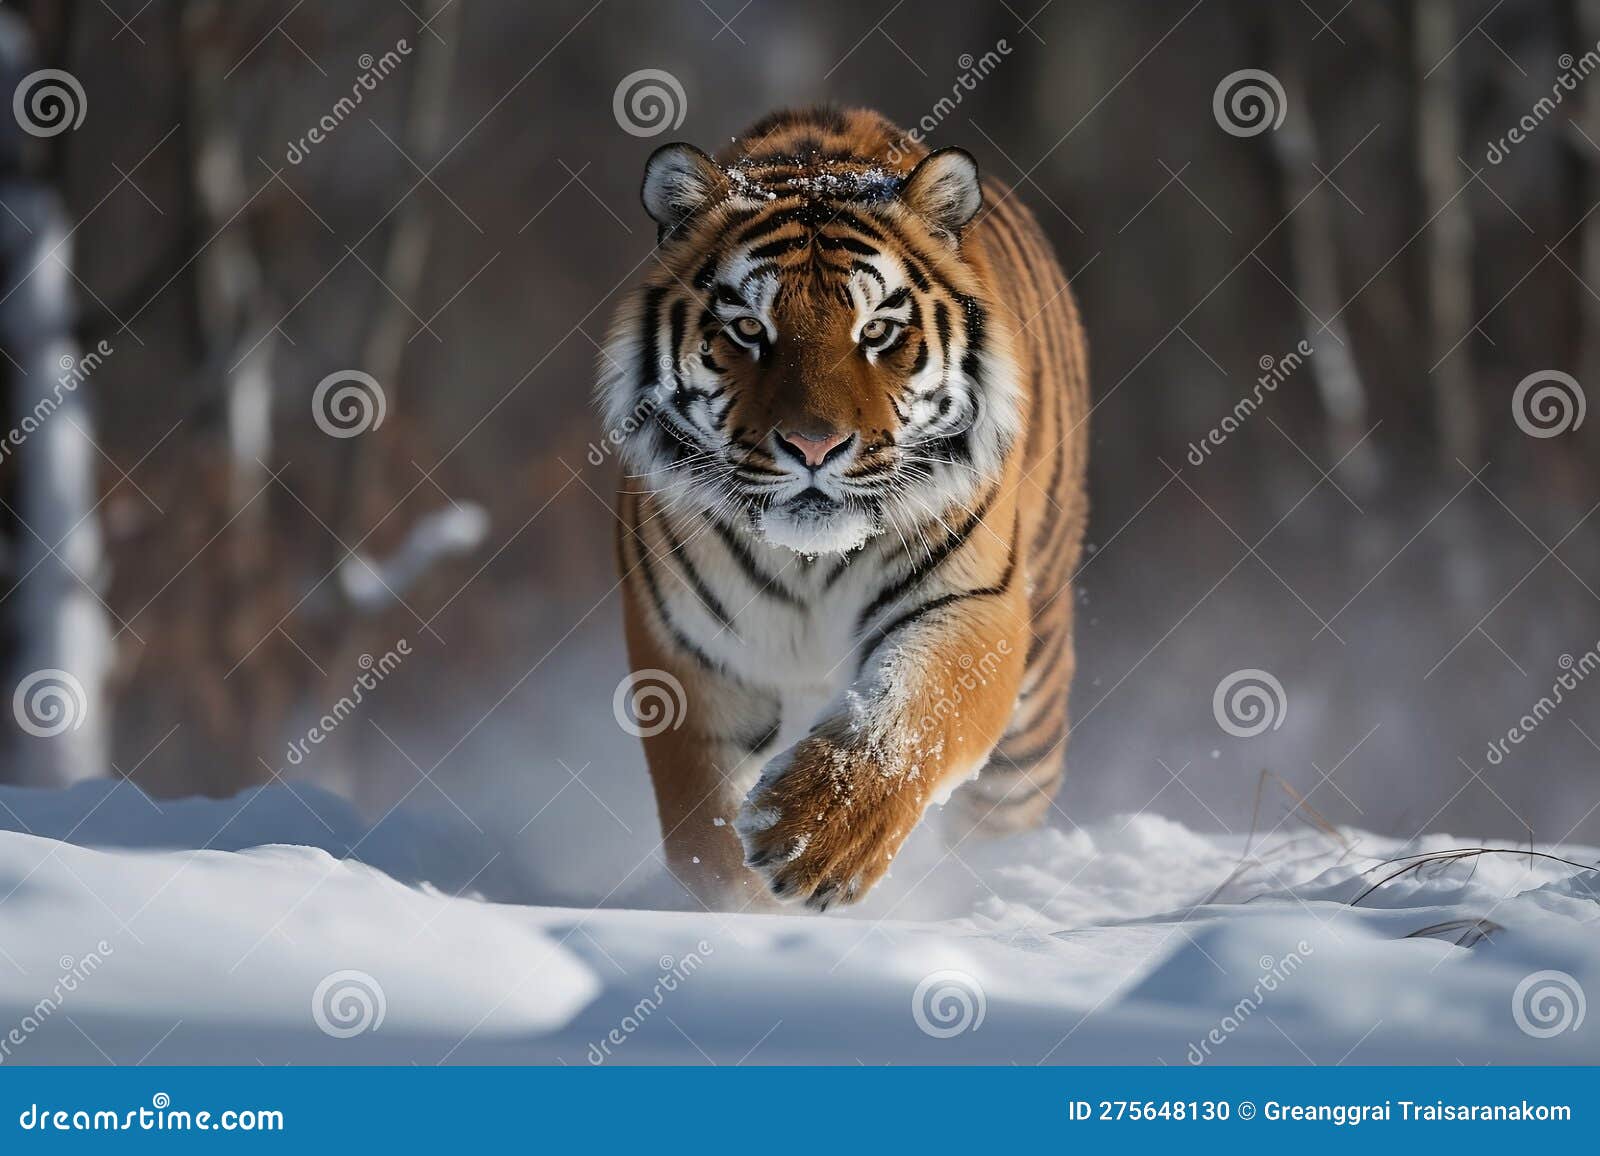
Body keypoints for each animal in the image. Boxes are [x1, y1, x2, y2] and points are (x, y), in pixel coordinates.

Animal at [599, 106, 1089, 912]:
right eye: (748, 330)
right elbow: (704, 827)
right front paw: (742, 913)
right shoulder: (689, 647)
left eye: (877, 331)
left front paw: (811, 840)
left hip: (1031, 716)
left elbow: (905, 720)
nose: (813, 445)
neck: (811, 561)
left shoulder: (970, 602)